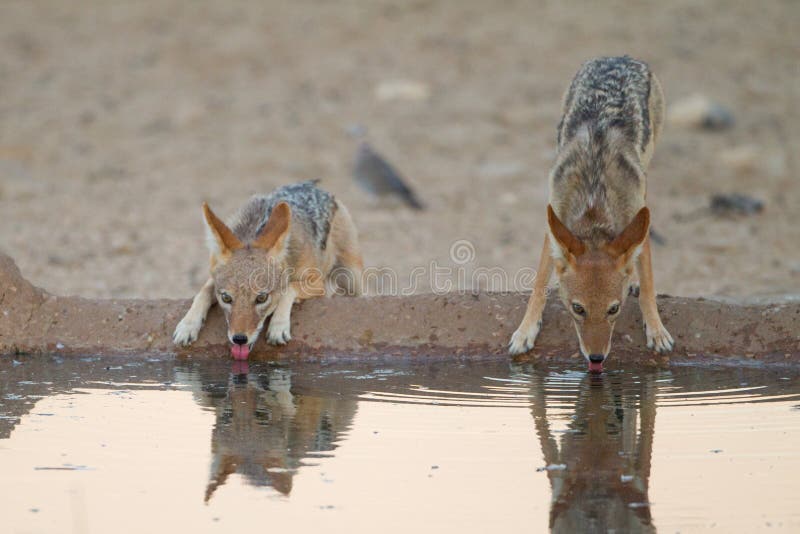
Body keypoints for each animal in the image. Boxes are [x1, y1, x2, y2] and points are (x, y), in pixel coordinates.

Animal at [173, 180, 364, 360]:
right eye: (226, 298)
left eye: (262, 298)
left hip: (352, 280)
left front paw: (278, 326)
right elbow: (203, 292)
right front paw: (187, 325)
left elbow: (289, 288)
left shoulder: (317, 284)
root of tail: (311, 185)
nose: (239, 339)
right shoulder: (212, 279)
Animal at [509, 56, 674, 372]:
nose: (596, 358)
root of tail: (618, 57)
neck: (594, 208)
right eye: (578, 308)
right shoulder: (554, 226)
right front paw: (525, 331)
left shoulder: (638, 220)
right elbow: (538, 283)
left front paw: (657, 330)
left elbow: (648, 285)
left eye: (614, 309)